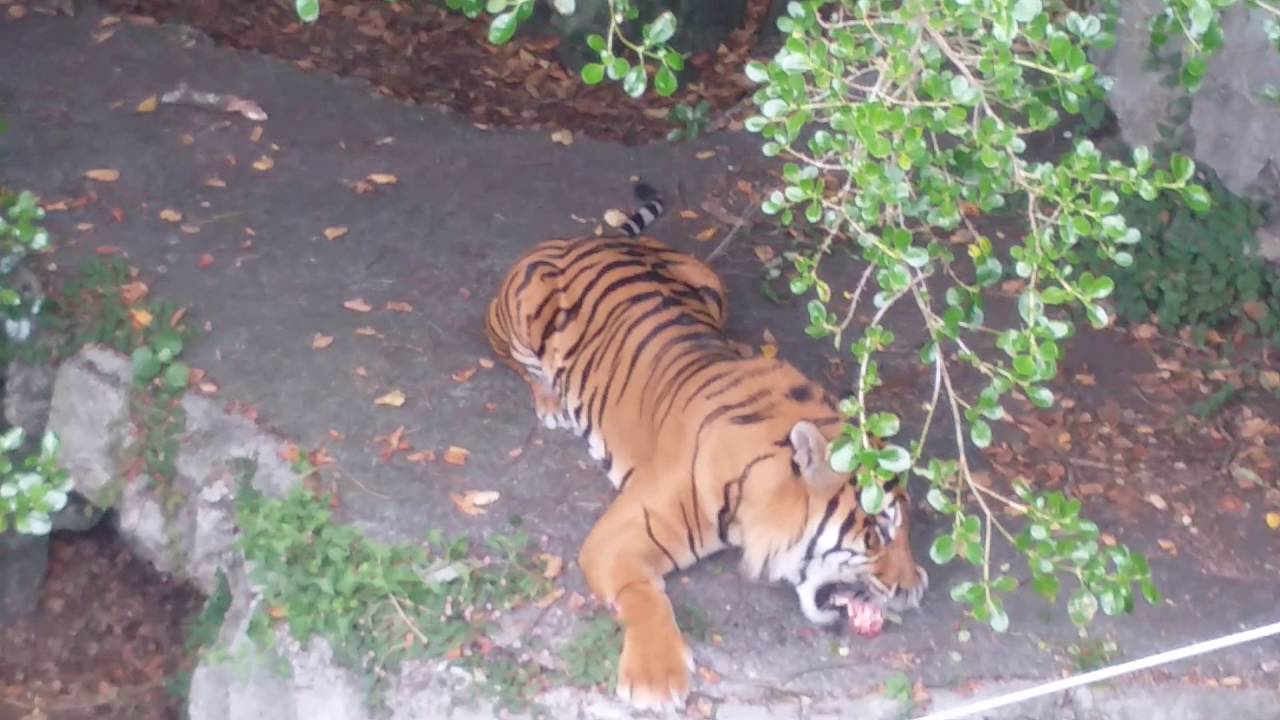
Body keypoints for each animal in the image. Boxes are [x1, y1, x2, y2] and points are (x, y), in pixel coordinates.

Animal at [484, 183, 928, 710]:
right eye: (879, 533)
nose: (916, 590)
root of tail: (587, 239)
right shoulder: (616, 535)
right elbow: (642, 593)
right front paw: (656, 680)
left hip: (708, 280)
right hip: (519, 311)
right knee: (516, 360)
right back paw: (551, 401)